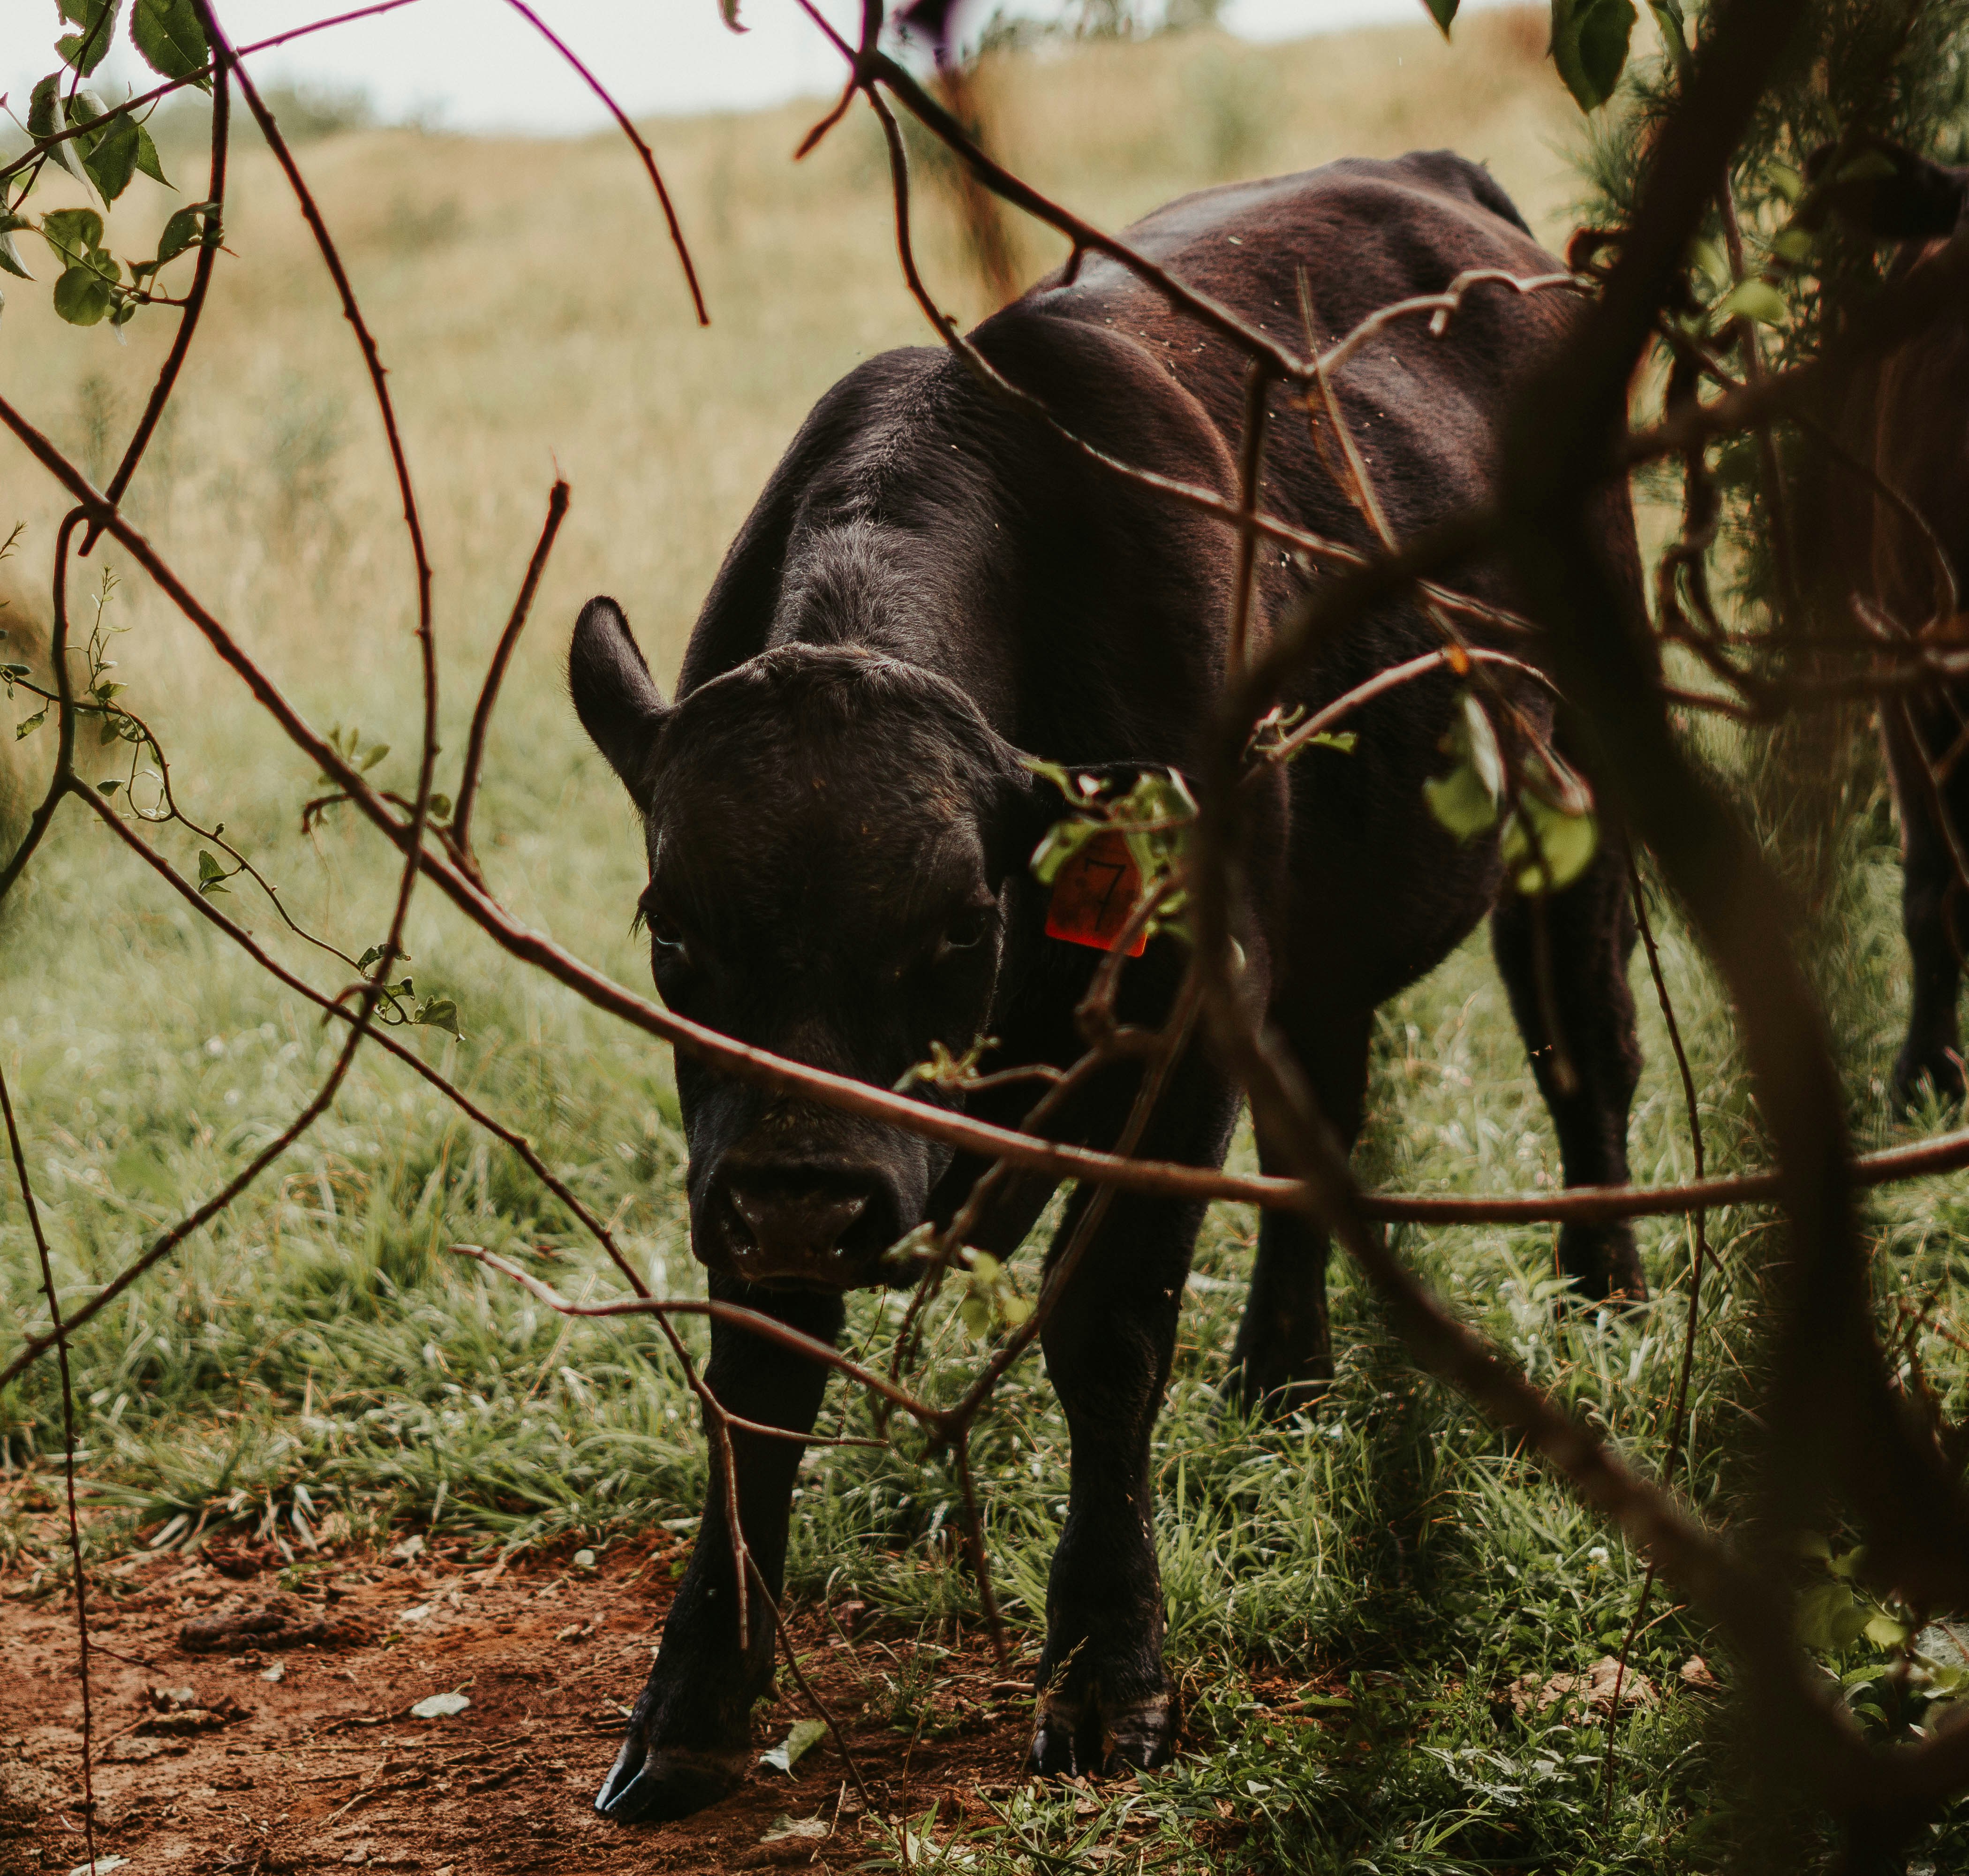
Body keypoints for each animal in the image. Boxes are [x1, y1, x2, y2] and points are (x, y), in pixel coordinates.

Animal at [571, 153, 1646, 1819]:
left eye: (960, 927)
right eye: (671, 929)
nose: (812, 1203)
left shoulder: (1178, 1023)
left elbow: (1110, 1331)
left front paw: (1102, 1675)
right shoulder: (747, 1141)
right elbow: (756, 1376)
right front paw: (690, 1700)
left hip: (1578, 777)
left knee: (1578, 1038)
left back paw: (1604, 1299)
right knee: (1325, 1100)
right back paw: (1278, 1374)